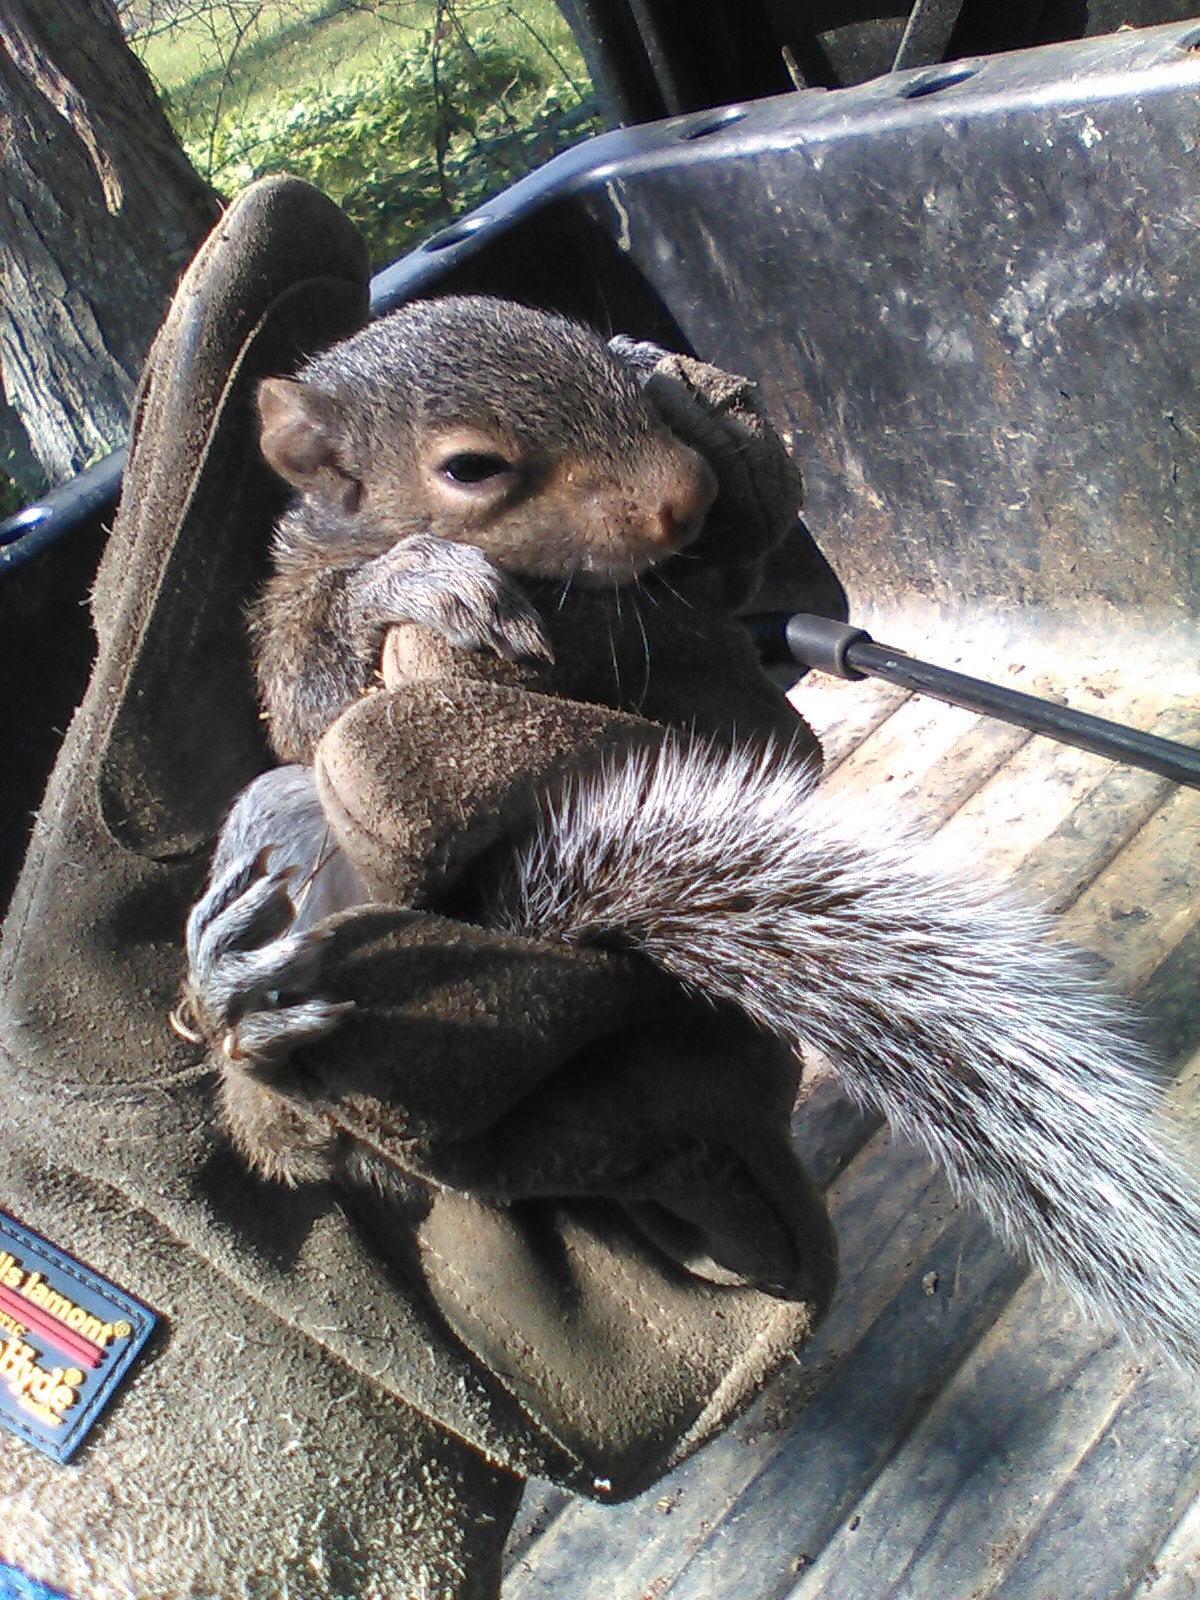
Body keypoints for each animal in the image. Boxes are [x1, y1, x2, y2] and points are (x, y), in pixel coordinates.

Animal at [180, 294, 1200, 1370]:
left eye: (586, 342)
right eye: (470, 468)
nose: (689, 493)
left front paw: (669, 377)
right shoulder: (297, 625)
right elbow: (307, 688)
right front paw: (423, 578)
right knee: (290, 1126)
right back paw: (233, 990)